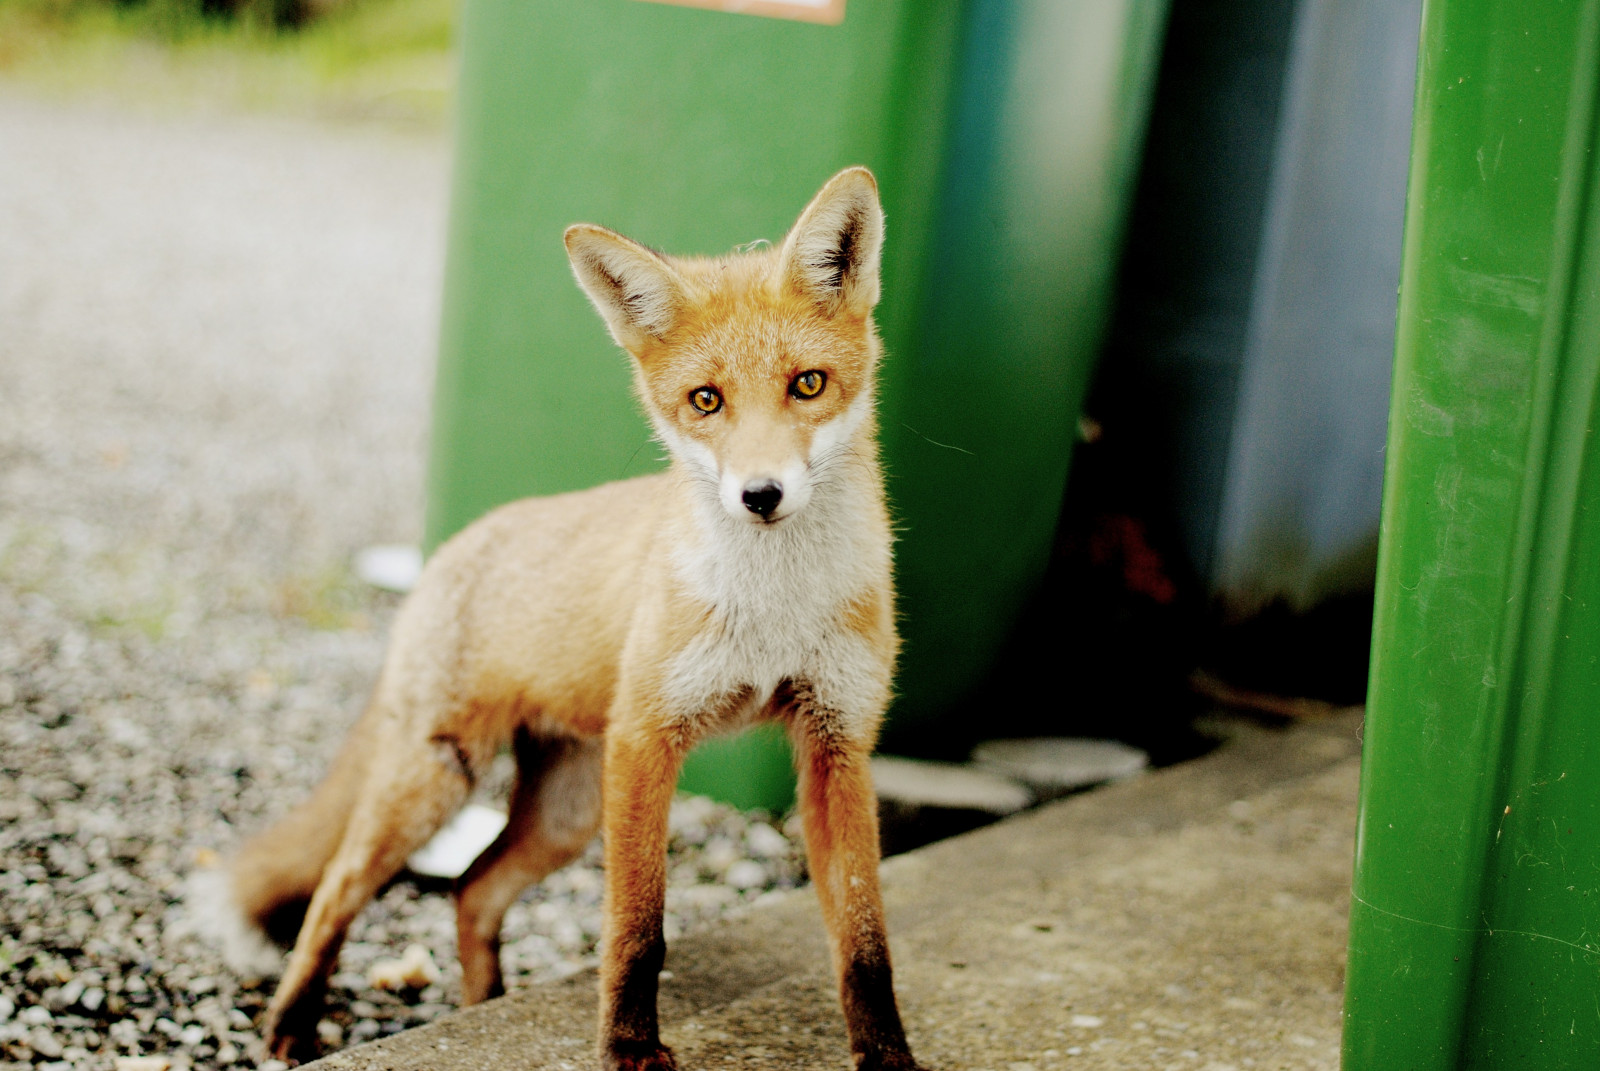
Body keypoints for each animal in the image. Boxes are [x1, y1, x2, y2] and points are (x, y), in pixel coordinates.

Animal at [197, 167, 925, 1071]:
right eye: (706, 400)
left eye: (809, 383)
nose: (761, 495)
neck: (774, 612)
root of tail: (452, 544)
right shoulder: (646, 741)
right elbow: (636, 926)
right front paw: (629, 1048)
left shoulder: (837, 744)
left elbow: (864, 937)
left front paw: (888, 1056)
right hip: (441, 779)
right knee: (336, 887)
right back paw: (292, 1023)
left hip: (564, 813)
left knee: (472, 890)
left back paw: (479, 1004)